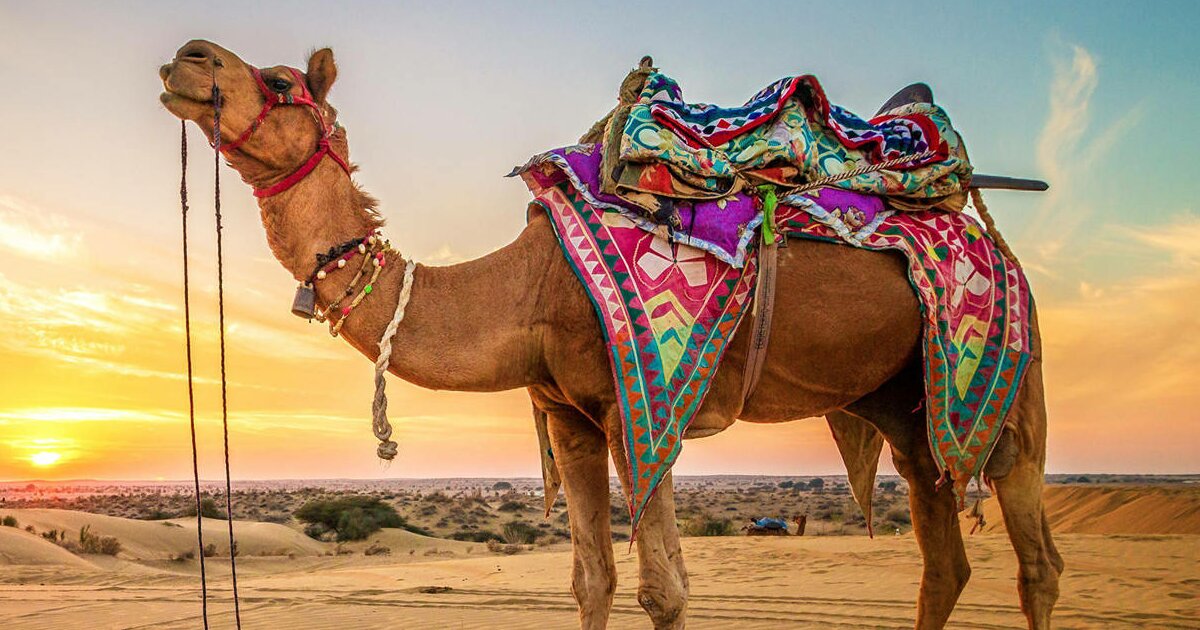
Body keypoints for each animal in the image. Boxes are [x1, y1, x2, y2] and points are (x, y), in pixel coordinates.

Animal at [159, 41, 1063, 629]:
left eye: (279, 78)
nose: (188, 58)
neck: (524, 286)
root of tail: (983, 232)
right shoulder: (571, 419)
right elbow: (591, 582)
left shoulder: (643, 406)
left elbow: (664, 589)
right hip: (905, 405)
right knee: (941, 555)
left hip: (1010, 379)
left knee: (1036, 561)